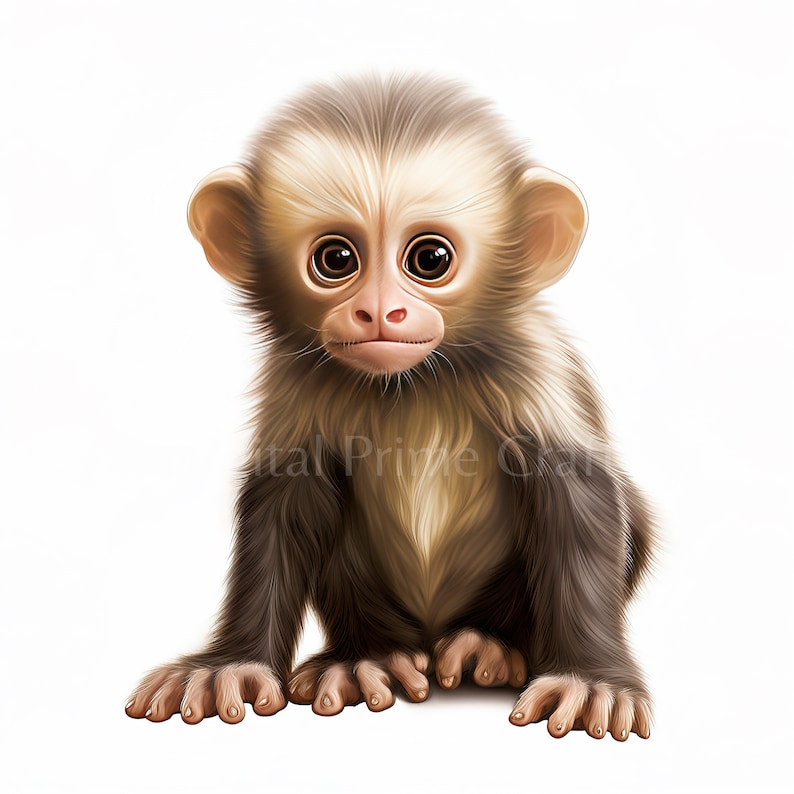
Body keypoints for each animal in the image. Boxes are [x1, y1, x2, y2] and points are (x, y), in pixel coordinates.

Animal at [125, 74, 656, 740]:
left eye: (430, 259)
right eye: (336, 259)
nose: (379, 311)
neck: (410, 384)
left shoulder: (536, 358)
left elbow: (575, 491)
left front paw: (591, 678)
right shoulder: (293, 379)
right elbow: (285, 500)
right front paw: (232, 663)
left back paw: (490, 643)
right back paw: (366, 656)